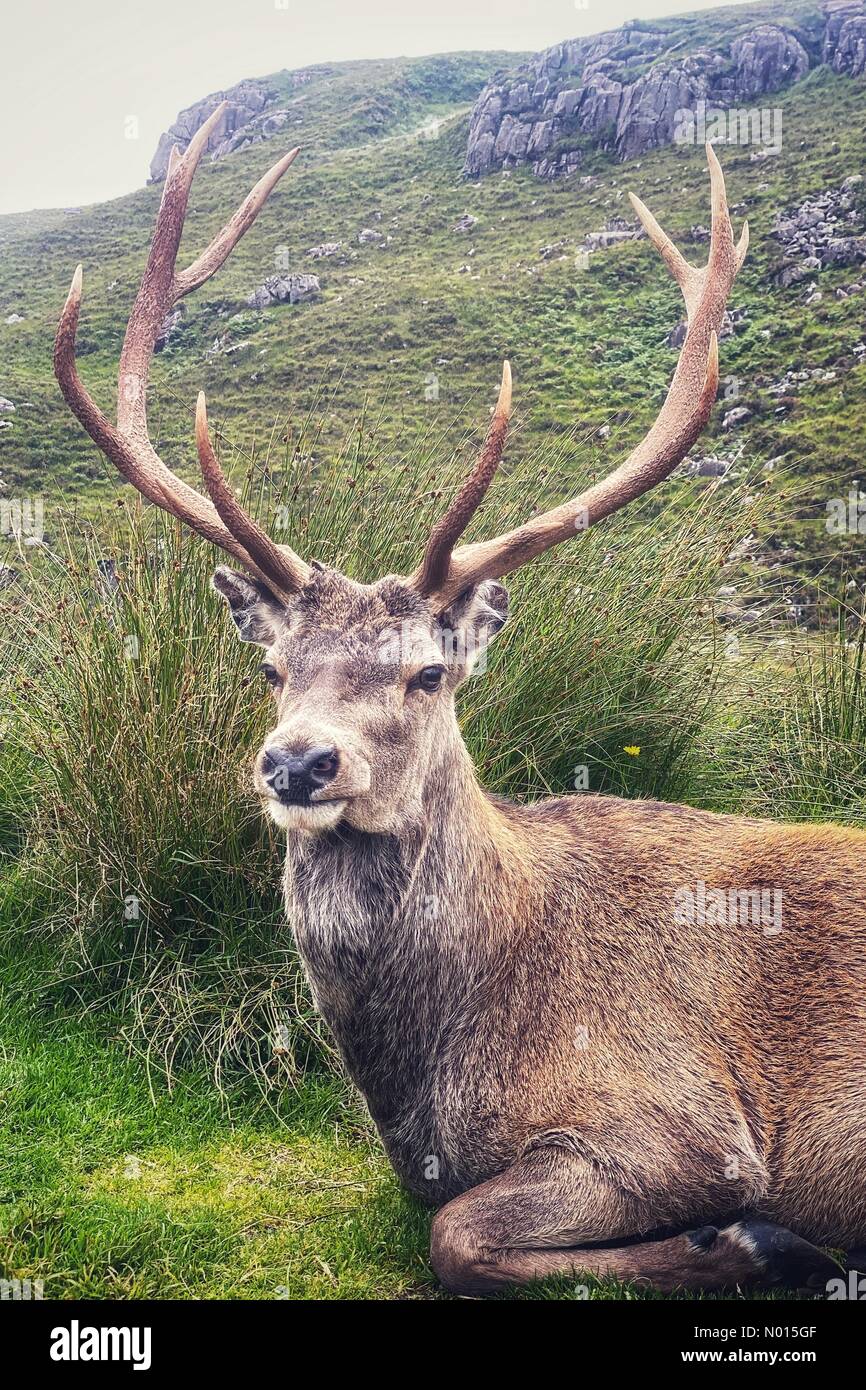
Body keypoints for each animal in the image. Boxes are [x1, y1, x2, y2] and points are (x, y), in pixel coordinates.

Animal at [54, 103, 866, 1297]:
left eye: (427, 670)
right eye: (271, 669)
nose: (299, 763)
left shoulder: (683, 1122)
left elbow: (460, 1236)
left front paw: (760, 1241)